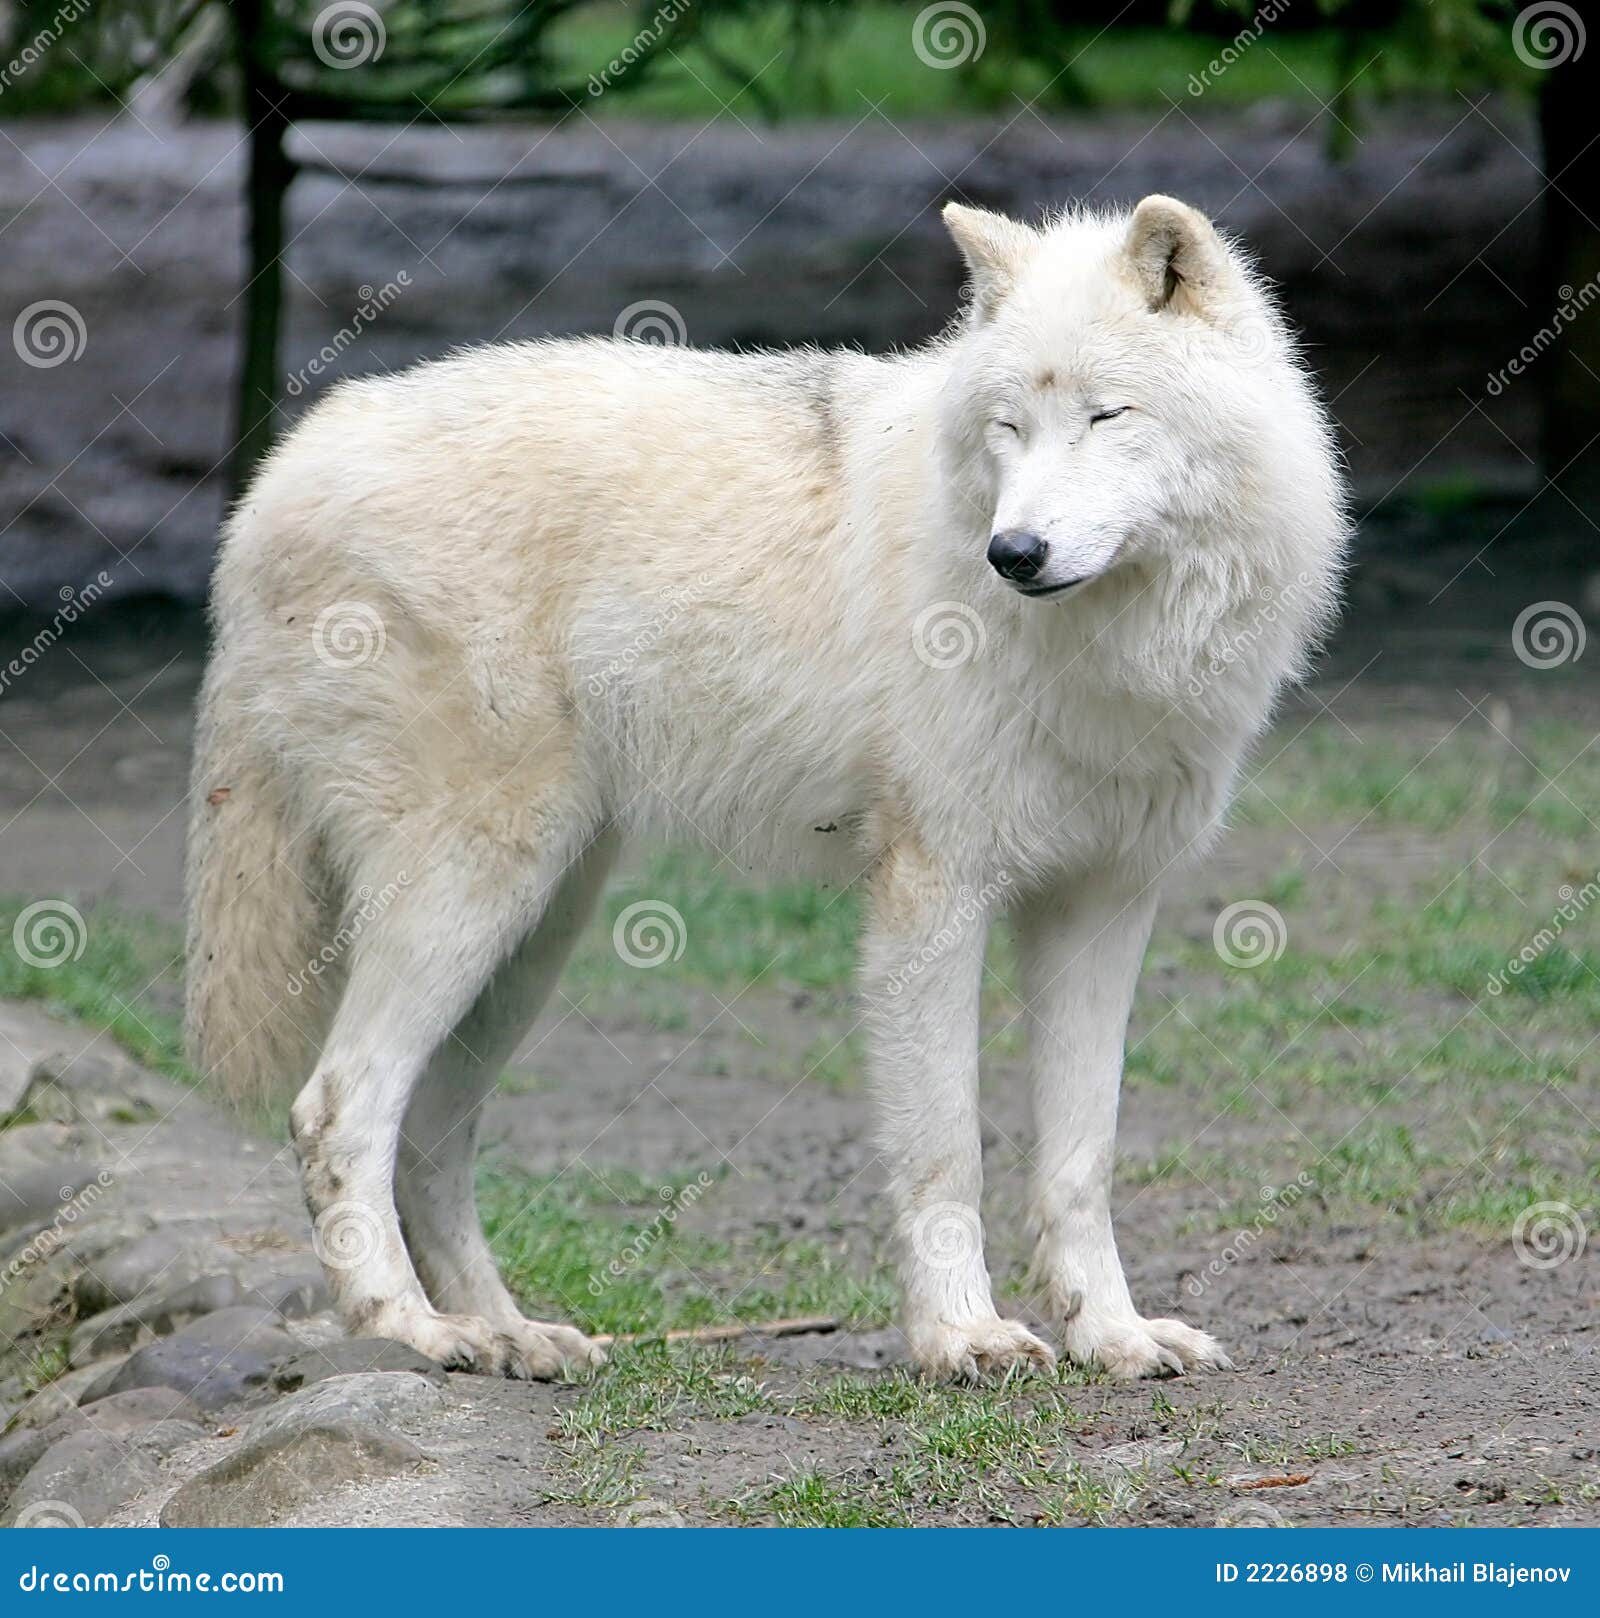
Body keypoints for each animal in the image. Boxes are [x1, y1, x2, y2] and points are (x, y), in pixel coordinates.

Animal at [187, 196, 1346, 1382]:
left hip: (531, 933)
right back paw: (410, 1328)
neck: (1107, 646)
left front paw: (1111, 1336)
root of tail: (281, 471)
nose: (1012, 552)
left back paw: (509, 1334)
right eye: (1008, 428)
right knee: (337, 1109)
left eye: (1109, 416)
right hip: (469, 896)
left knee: (426, 1133)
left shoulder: (1103, 905)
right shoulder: (932, 897)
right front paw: (962, 1337)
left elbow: (1081, 1159)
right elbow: (947, 1151)